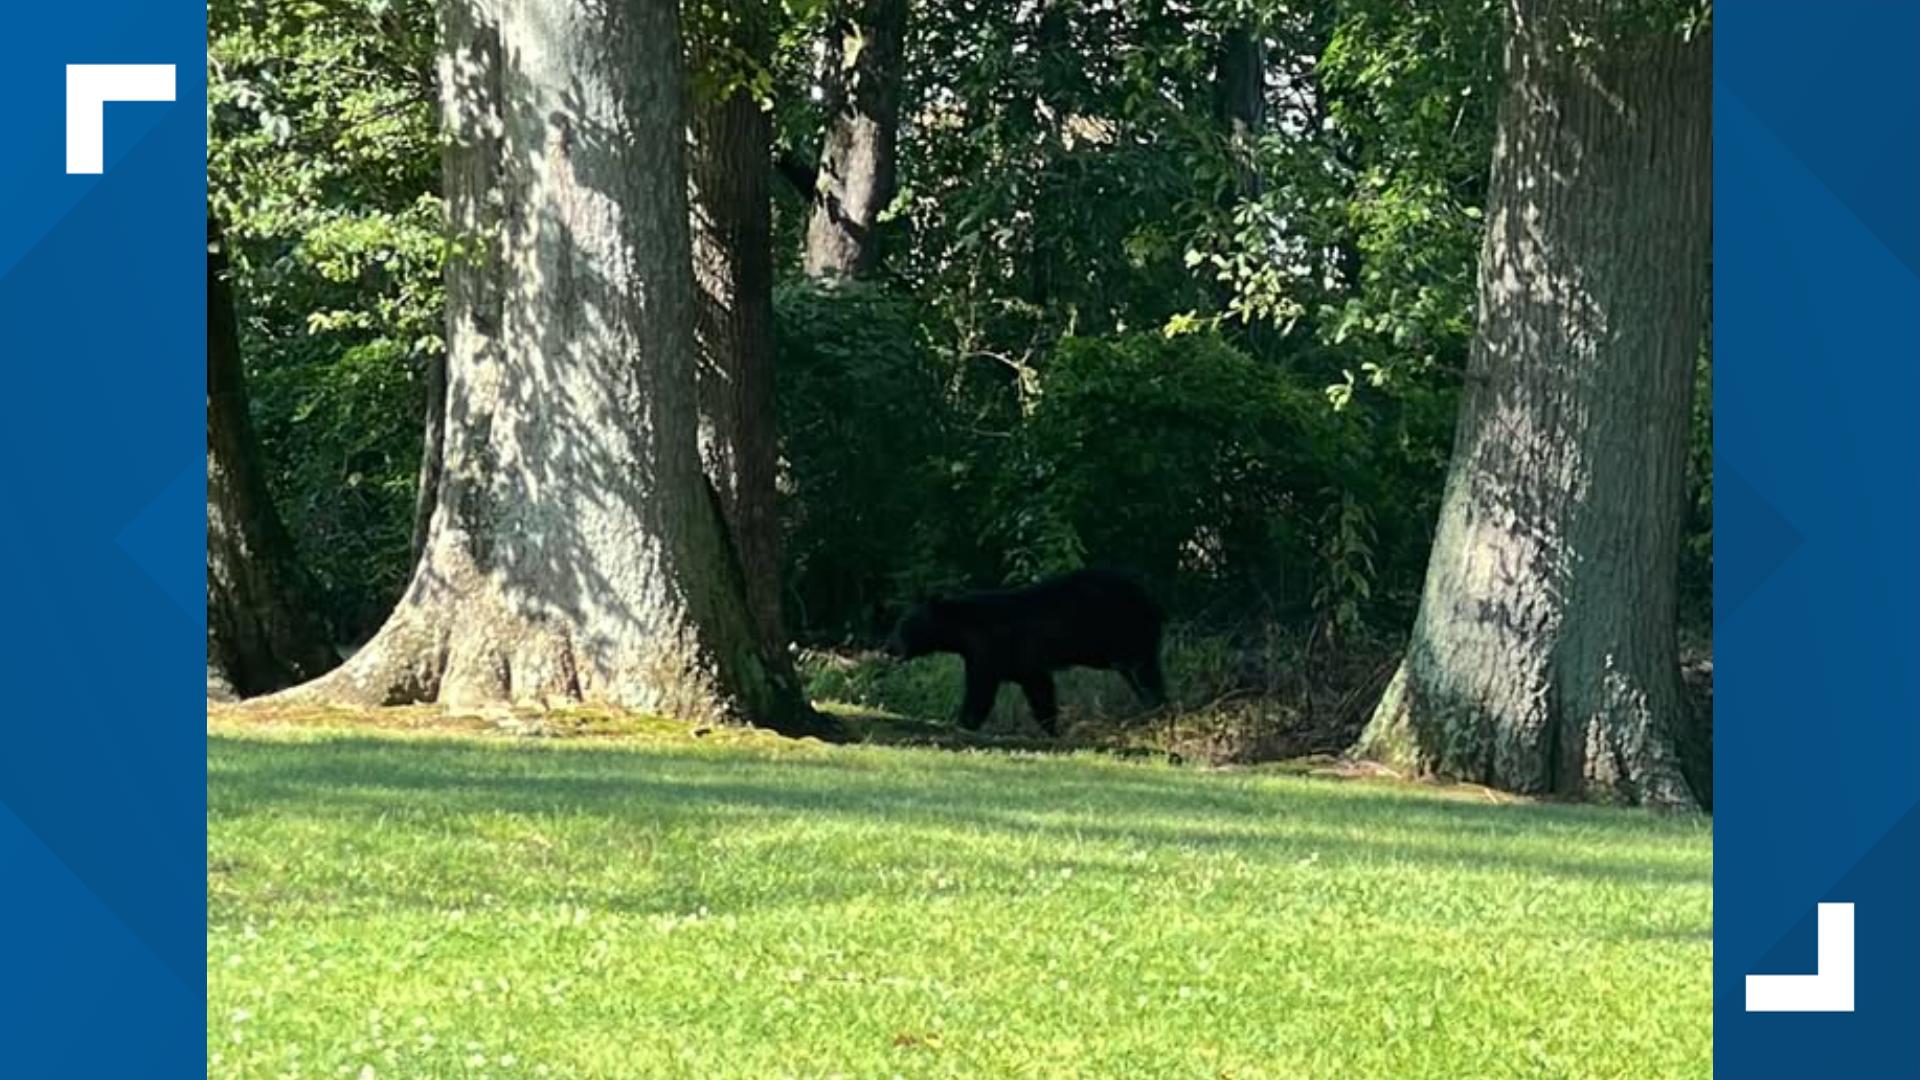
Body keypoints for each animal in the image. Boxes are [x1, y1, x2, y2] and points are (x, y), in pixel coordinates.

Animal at [885, 568, 1167, 734]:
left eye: (903, 625)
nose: (888, 647)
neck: (965, 629)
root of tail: (1151, 600)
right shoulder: (1013, 661)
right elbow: (1037, 689)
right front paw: (1051, 729)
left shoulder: (992, 648)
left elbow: (981, 690)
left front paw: (964, 722)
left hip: (1129, 635)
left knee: (1144, 673)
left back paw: (1156, 705)